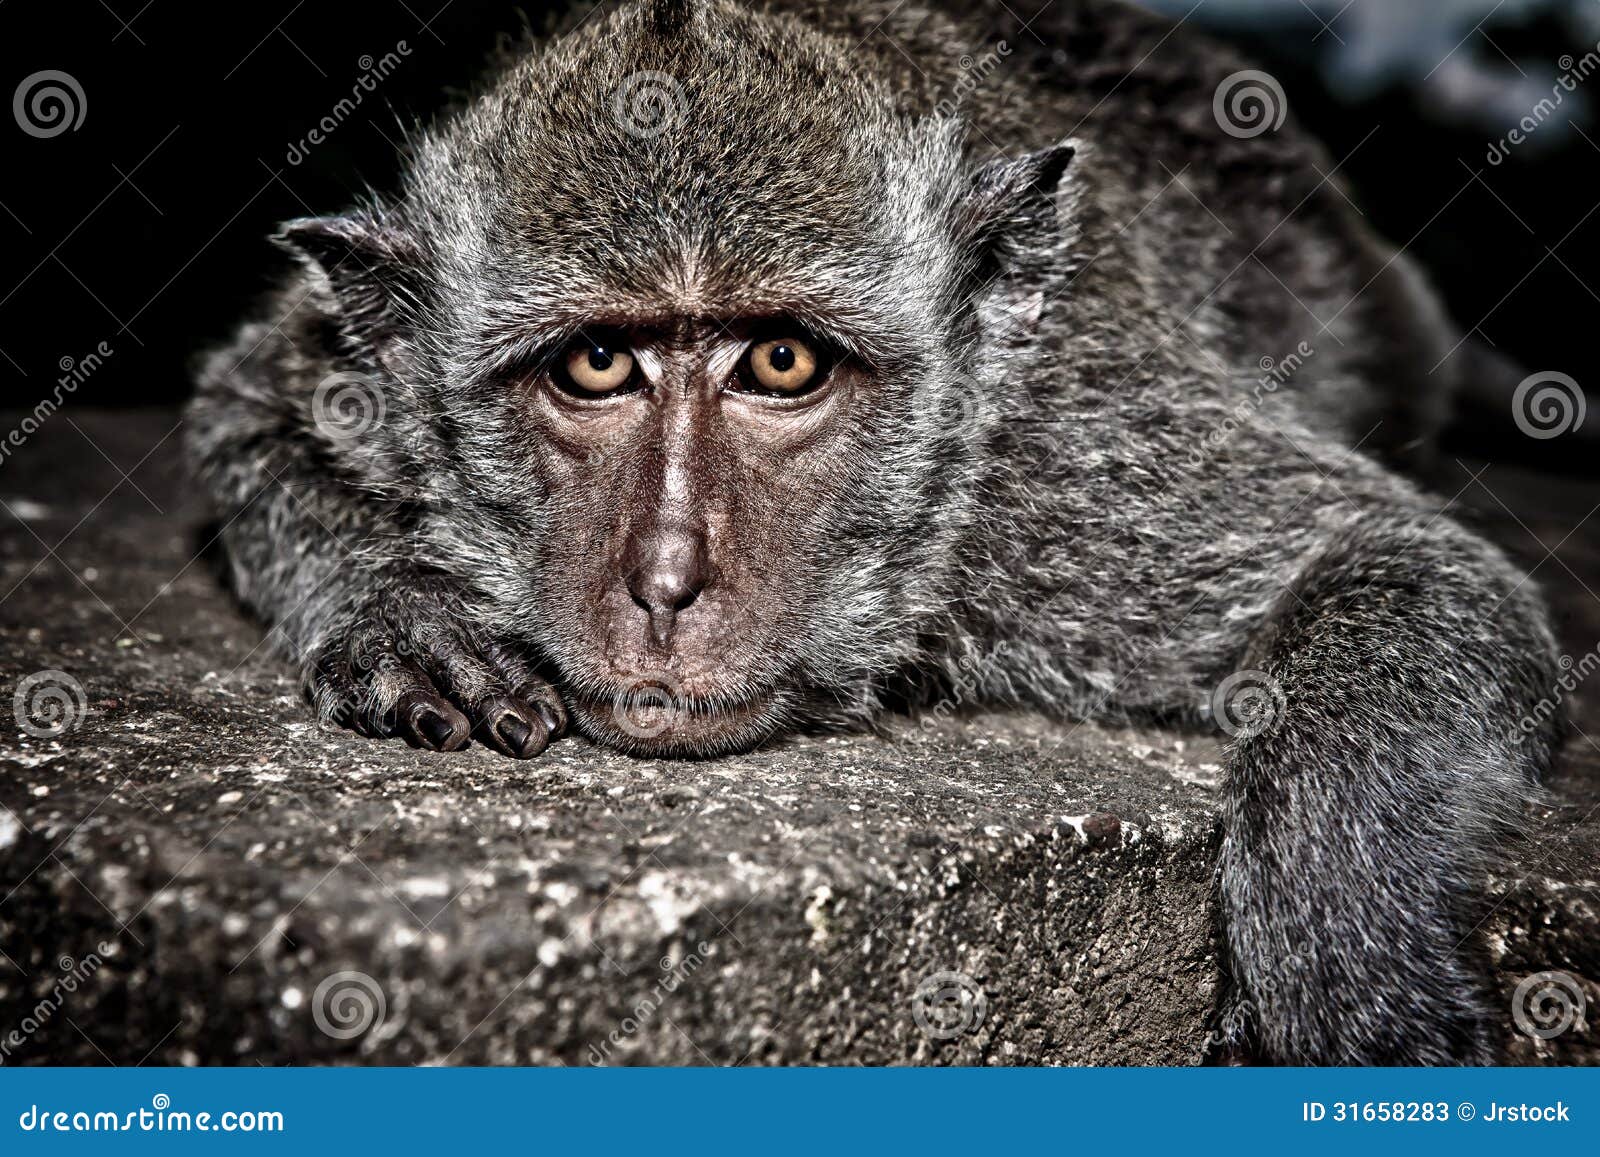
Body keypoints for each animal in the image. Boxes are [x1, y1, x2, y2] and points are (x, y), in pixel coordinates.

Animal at [187, 0, 1564, 1065]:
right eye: (596, 365)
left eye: (781, 363)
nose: (666, 580)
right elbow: (242, 409)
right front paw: (402, 612)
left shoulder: (1068, 479)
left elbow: (1404, 563)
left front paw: (1341, 954)